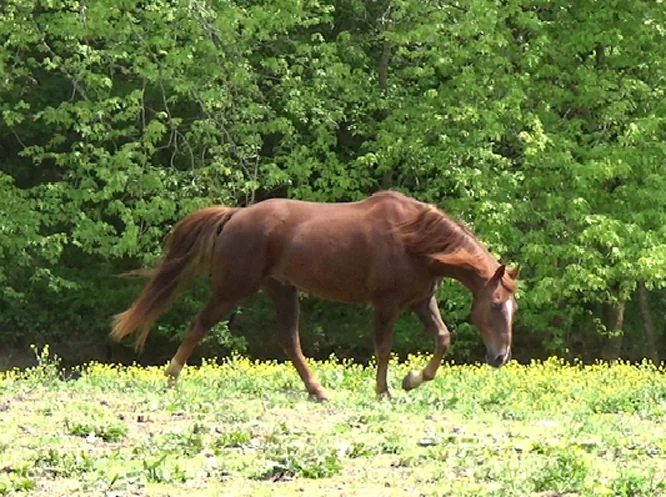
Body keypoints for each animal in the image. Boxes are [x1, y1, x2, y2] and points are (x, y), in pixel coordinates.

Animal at [110, 191, 519, 401]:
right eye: (496, 305)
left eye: (512, 307)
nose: (500, 357)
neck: (414, 237)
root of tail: (235, 215)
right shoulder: (385, 305)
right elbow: (383, 348)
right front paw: (384, 391)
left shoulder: (420, 301)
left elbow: (443, 339)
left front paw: (411, 380)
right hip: (232, 288)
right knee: (200, 324)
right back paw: (171, 377)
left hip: (282, 291)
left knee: (289, 341)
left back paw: (318, 389)